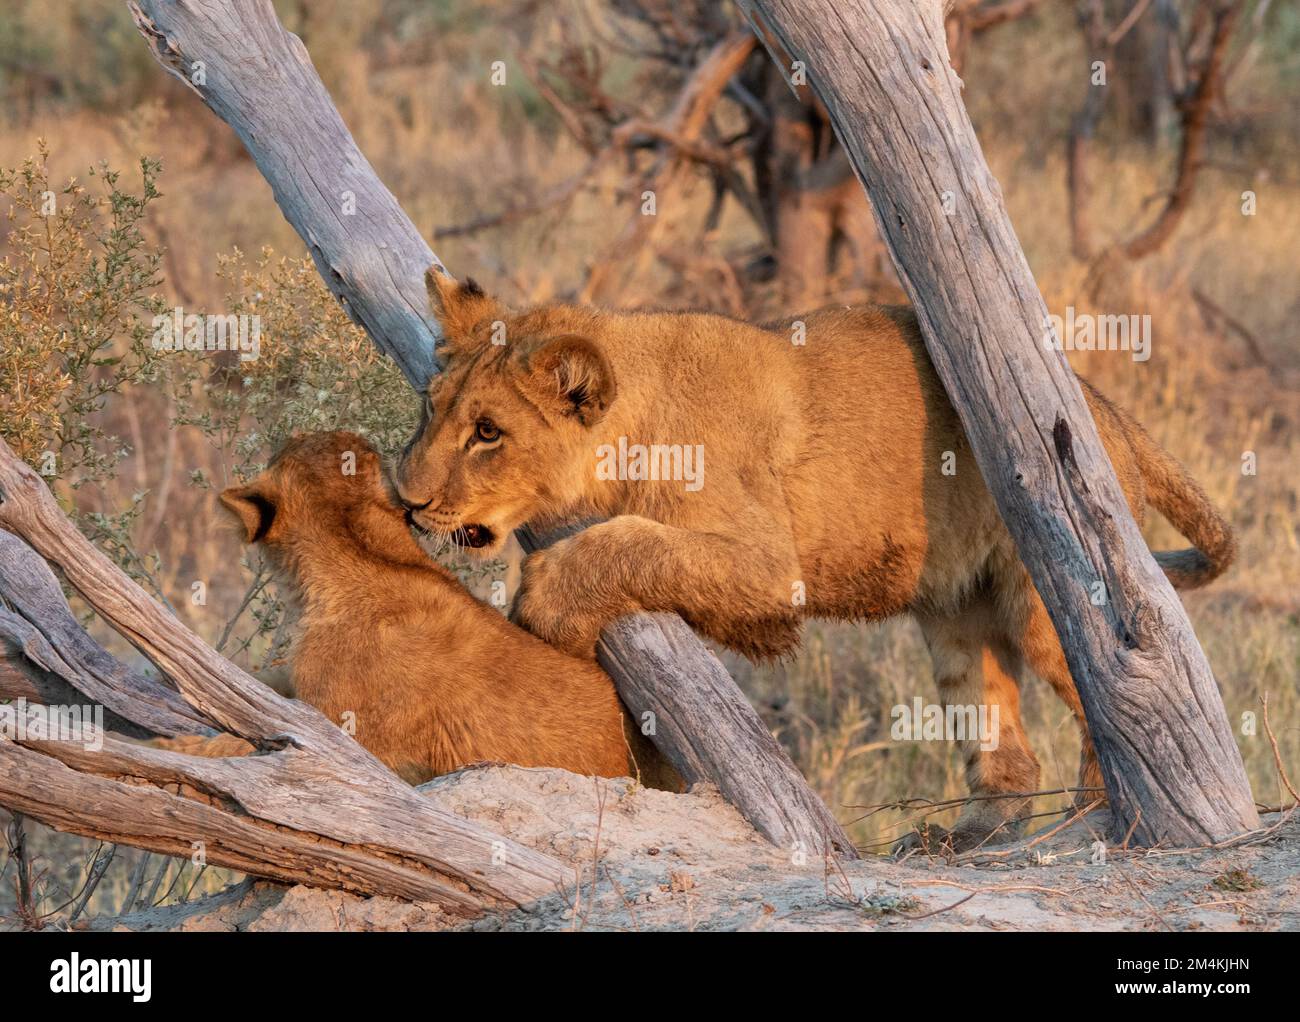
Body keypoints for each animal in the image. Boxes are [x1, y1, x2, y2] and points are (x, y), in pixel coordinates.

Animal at [395, 270, 1236, 850]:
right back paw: (965, 839)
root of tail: (1102, 408)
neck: (630, 430)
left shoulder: (770, 564)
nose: (407, 499)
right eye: (430, 409)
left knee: (1105, 699)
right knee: (1005, 750)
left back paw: (1097, 821)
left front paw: (546, 603)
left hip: (1047, 596)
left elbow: (633, 541)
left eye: (488, 433)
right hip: (957, 615)